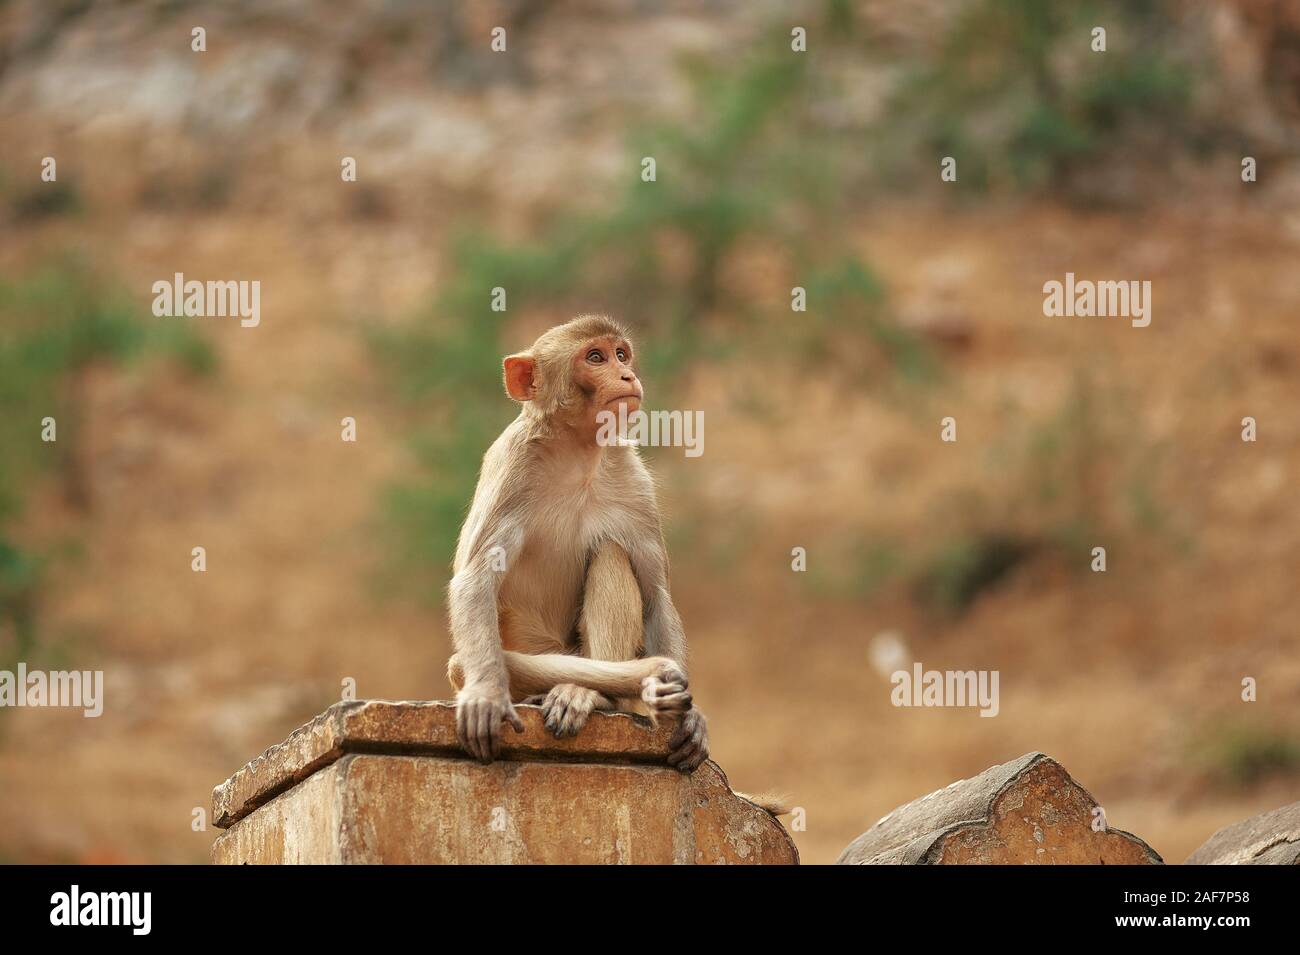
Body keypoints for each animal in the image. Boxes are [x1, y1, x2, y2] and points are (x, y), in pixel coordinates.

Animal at [445, 314, 709, 772]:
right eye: (595, 358)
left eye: (621, 354)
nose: (627, 375)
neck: (578, 453)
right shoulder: (511, 466)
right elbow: (475, 578)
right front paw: (486, 691)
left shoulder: (635, 481)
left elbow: (656, 594)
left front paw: (688, 717)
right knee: (464, 663)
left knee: (611, 553)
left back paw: (591, 694)